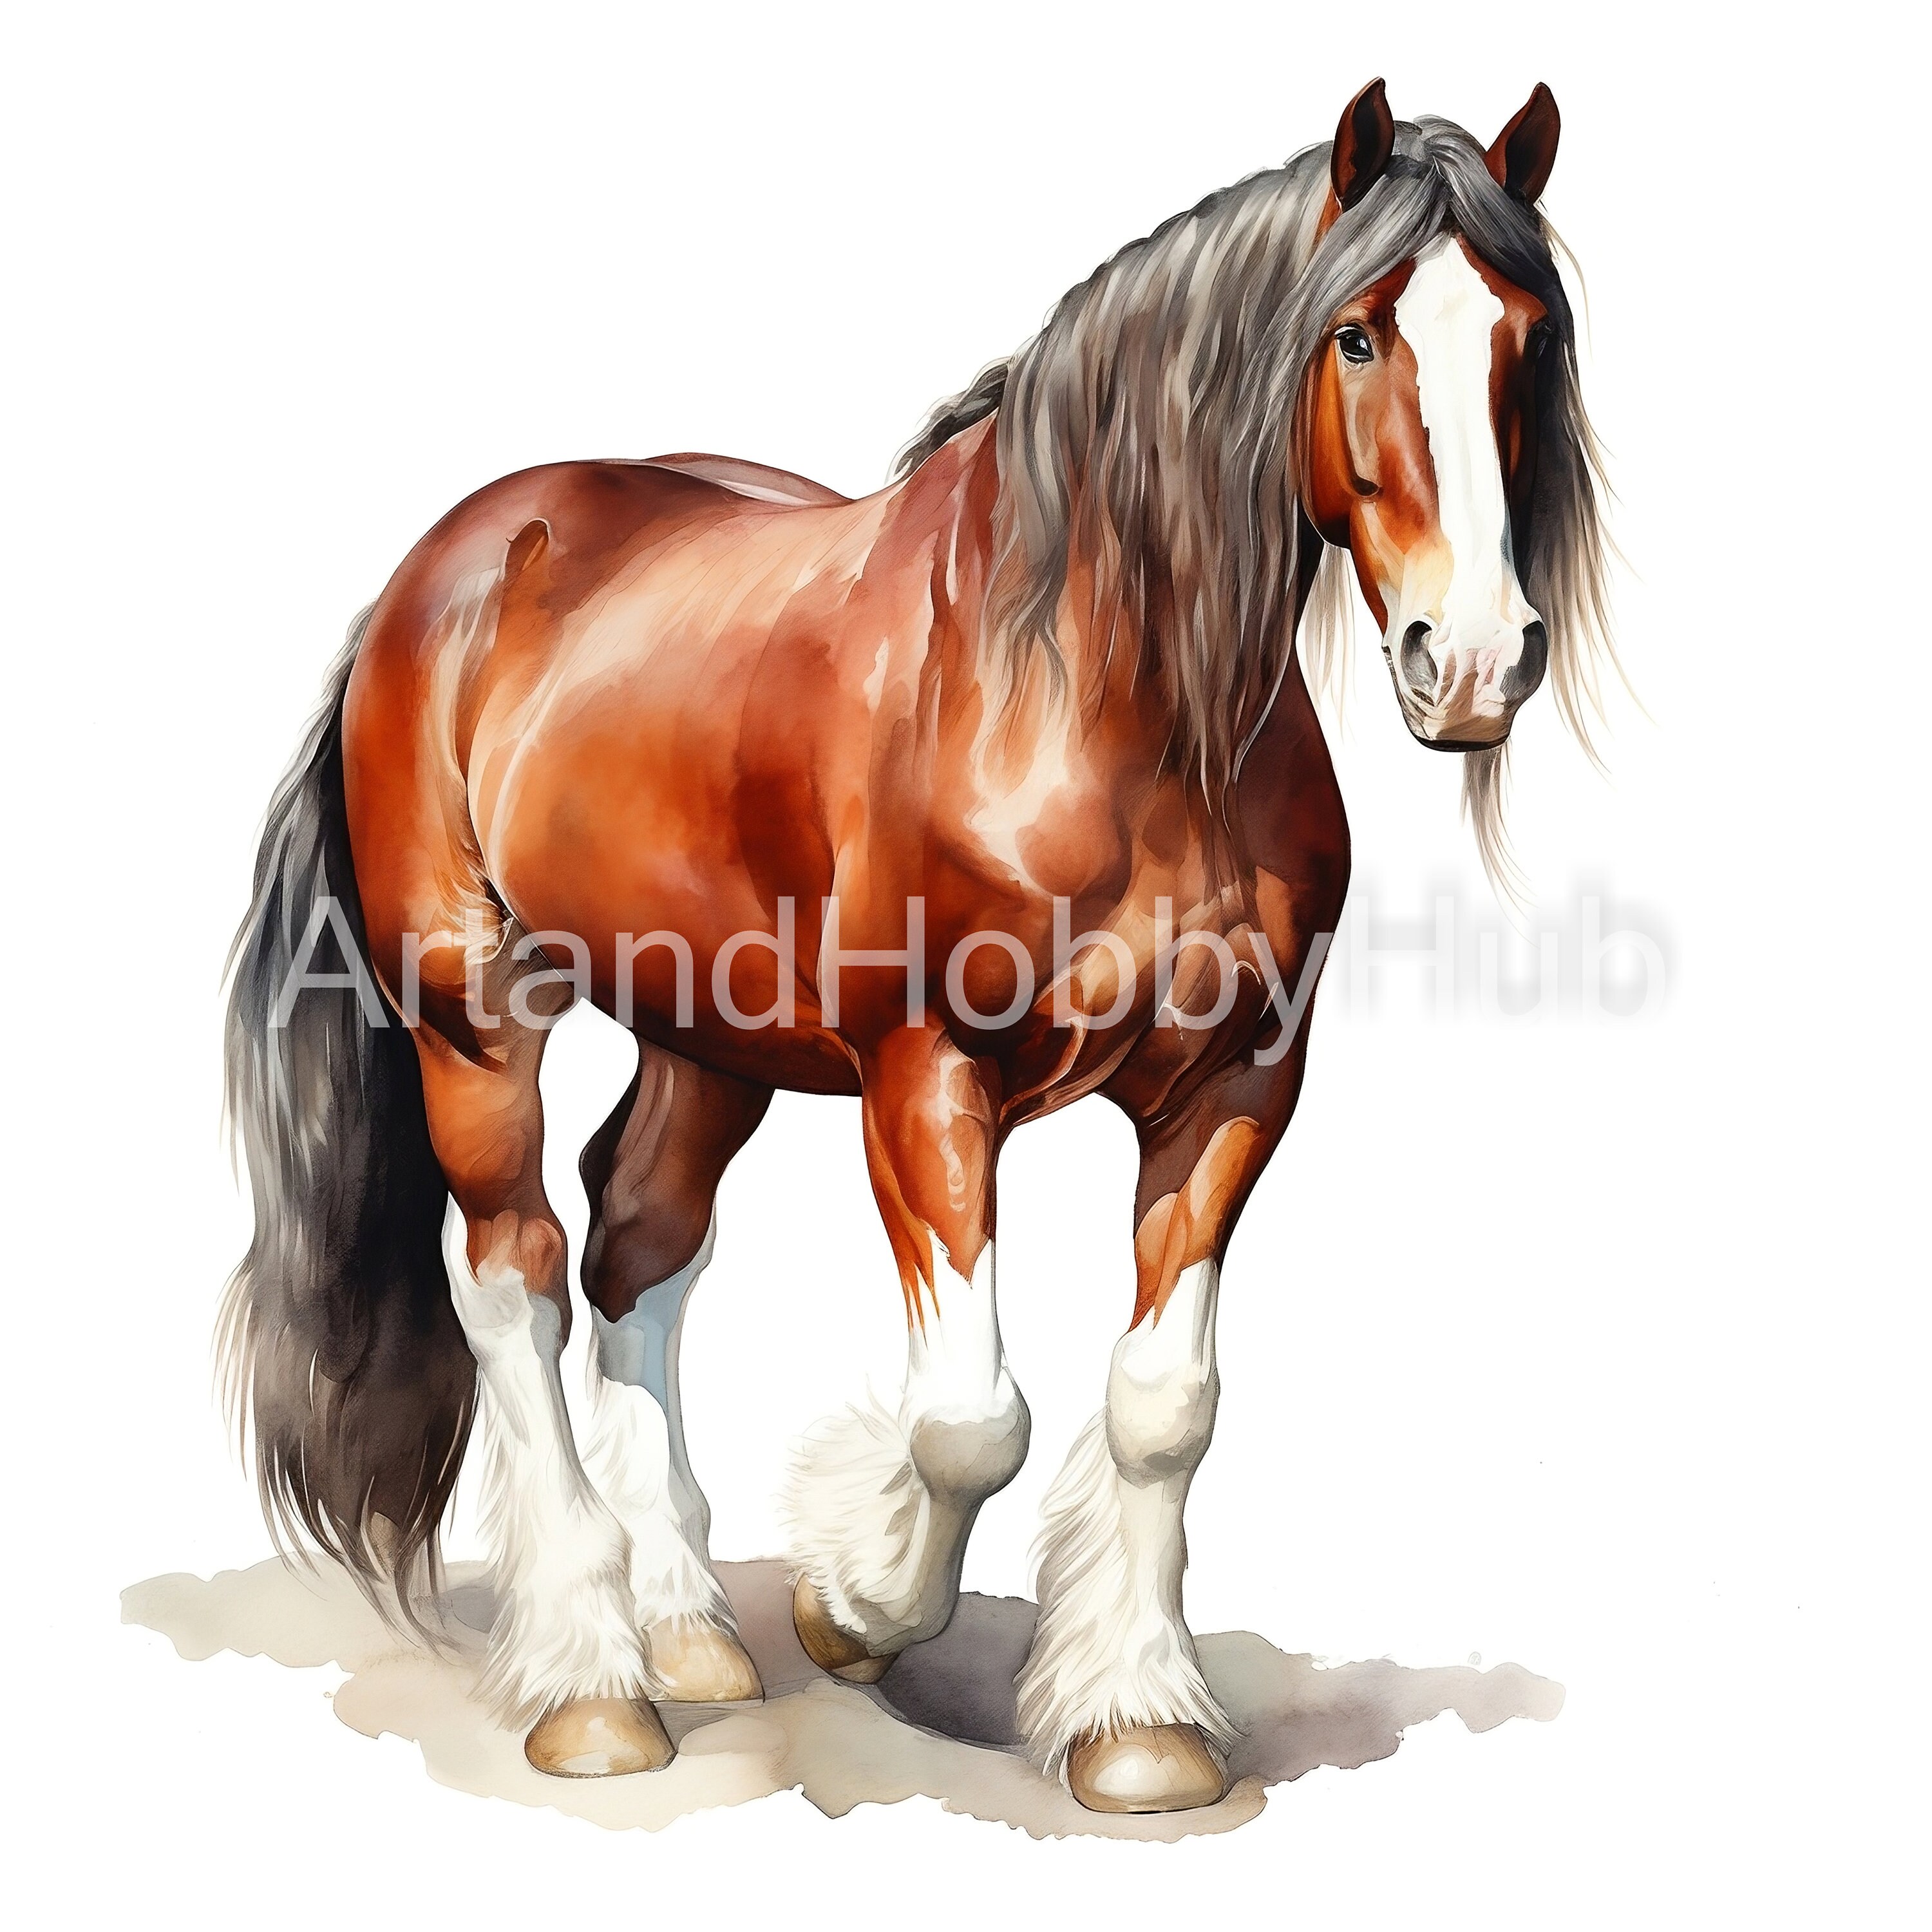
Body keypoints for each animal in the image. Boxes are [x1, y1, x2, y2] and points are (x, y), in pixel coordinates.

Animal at [221, 80, 1613, 1814]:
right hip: (473, 1014)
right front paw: (858, 1601)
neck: (1090, 698)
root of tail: (451, 566)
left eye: (1528, 338)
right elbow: (970, 1419)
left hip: (707, 1035)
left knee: (637, 1241)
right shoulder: (925, 1080)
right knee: (515, 1279)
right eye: (1355, 333)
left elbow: (1167, 1406)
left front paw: (1139, 1725)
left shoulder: (1236, 1086)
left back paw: (687, 1631)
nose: (1475, 660)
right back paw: (594, 1683)